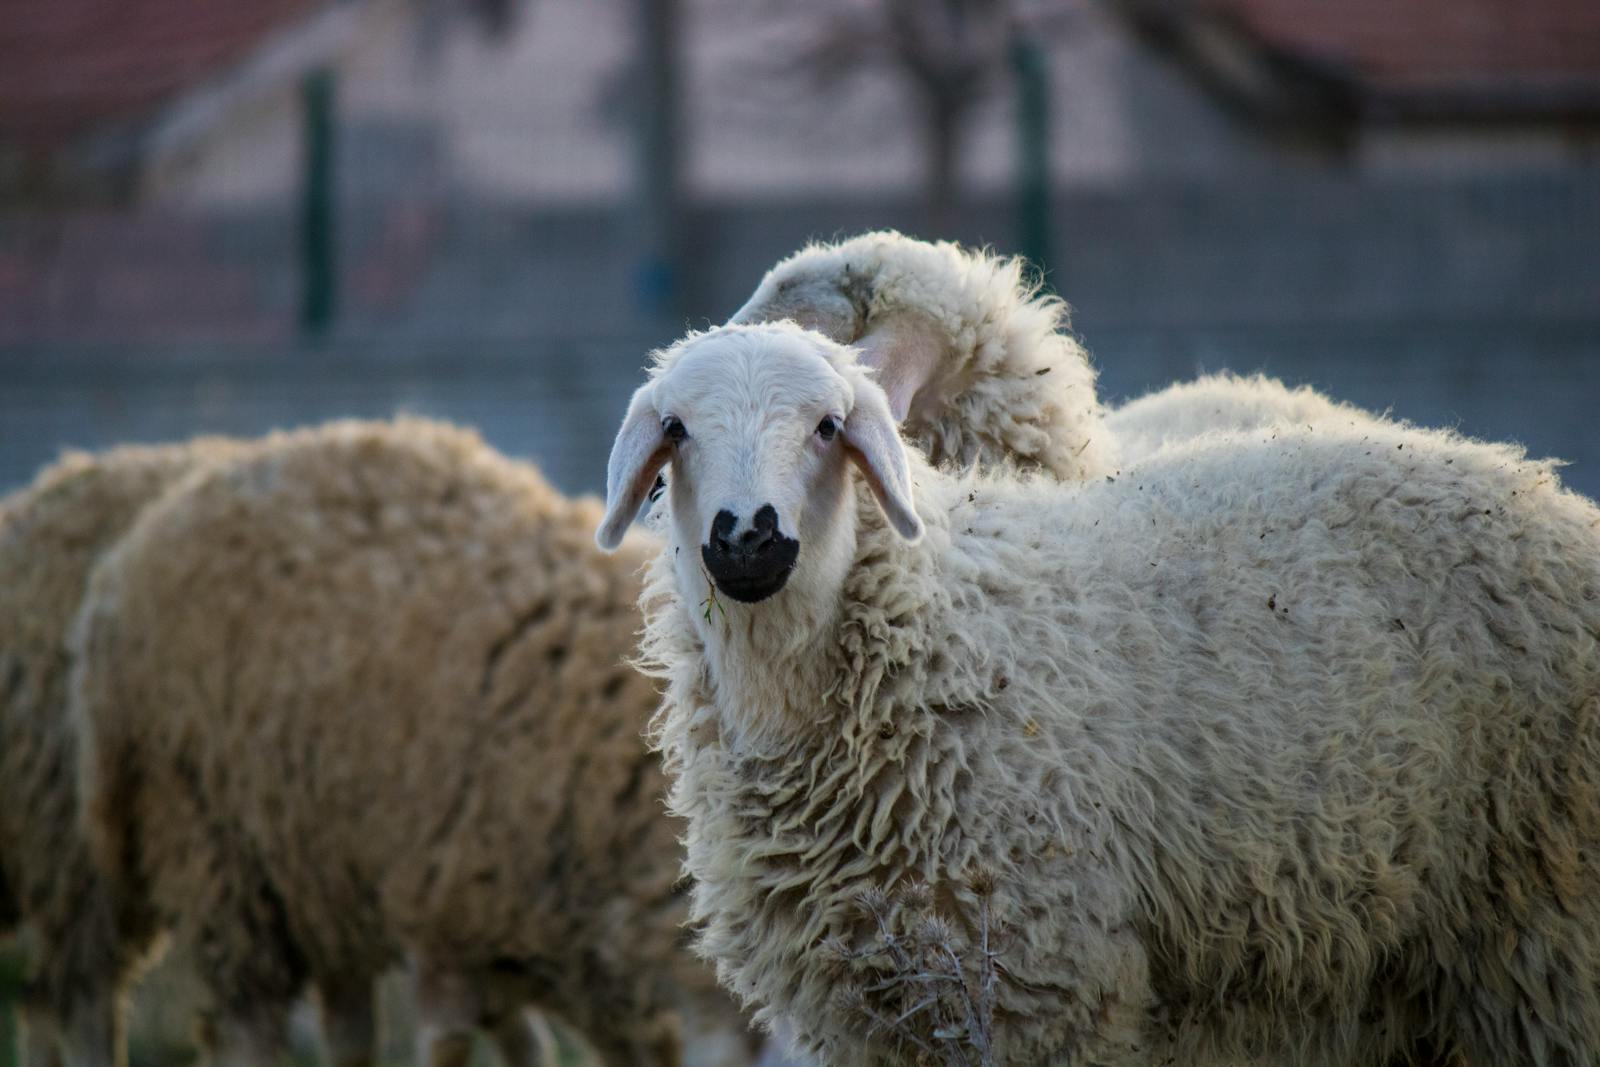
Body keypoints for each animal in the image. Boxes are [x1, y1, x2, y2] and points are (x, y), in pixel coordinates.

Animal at [70, 418, 758, 1067]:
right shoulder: (443, 920)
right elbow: (451, 1043)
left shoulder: (538, 942)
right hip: (213, 852)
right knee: (232, 1021)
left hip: (317, 867)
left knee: (343, 1026)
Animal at [596, 321, 1600, 1066]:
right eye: (676, 428)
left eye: (827, 425)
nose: (748, 539)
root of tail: (1548, 493)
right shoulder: (871, 1011)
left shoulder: (1040, 985)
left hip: (1538, 931)